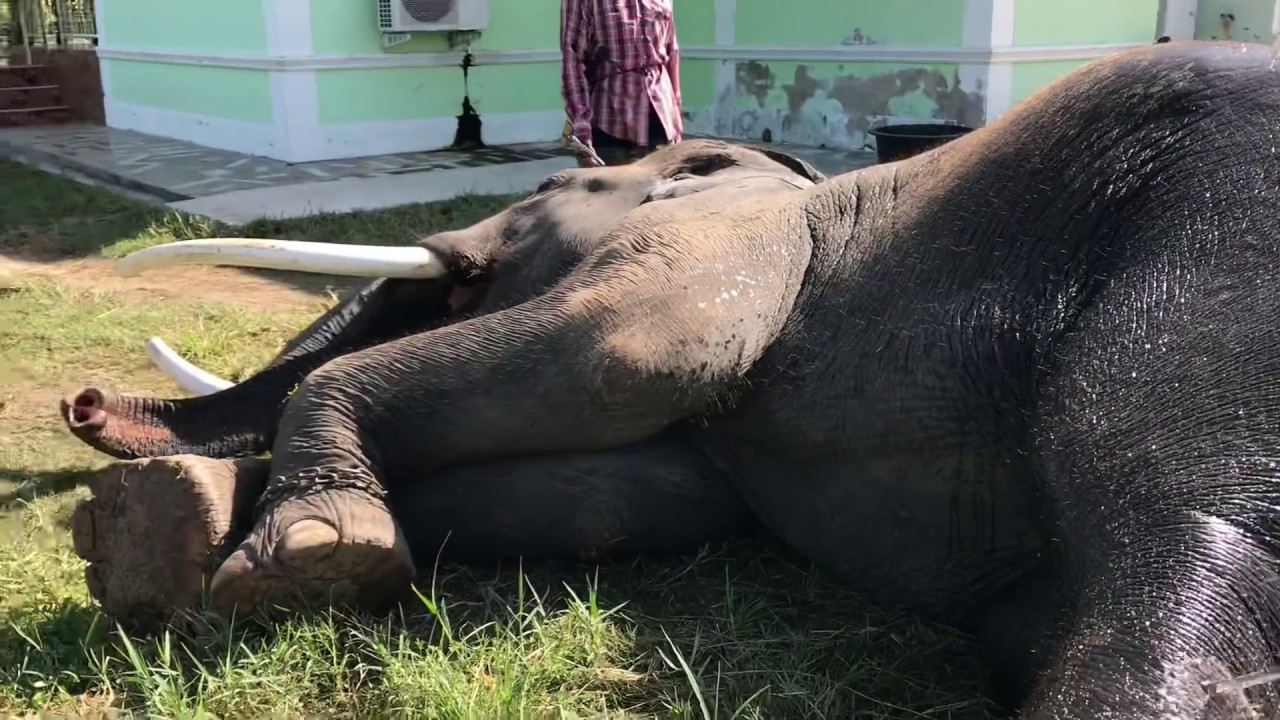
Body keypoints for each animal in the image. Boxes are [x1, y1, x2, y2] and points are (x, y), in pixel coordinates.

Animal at [56, 41, 1280, 718]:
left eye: (540, 191)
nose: (79, 400)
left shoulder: (729, 250)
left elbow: (616, 355)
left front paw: (306, 558)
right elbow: (618, 498)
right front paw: (158, 533)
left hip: (1220, 237)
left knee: (1167, 501)